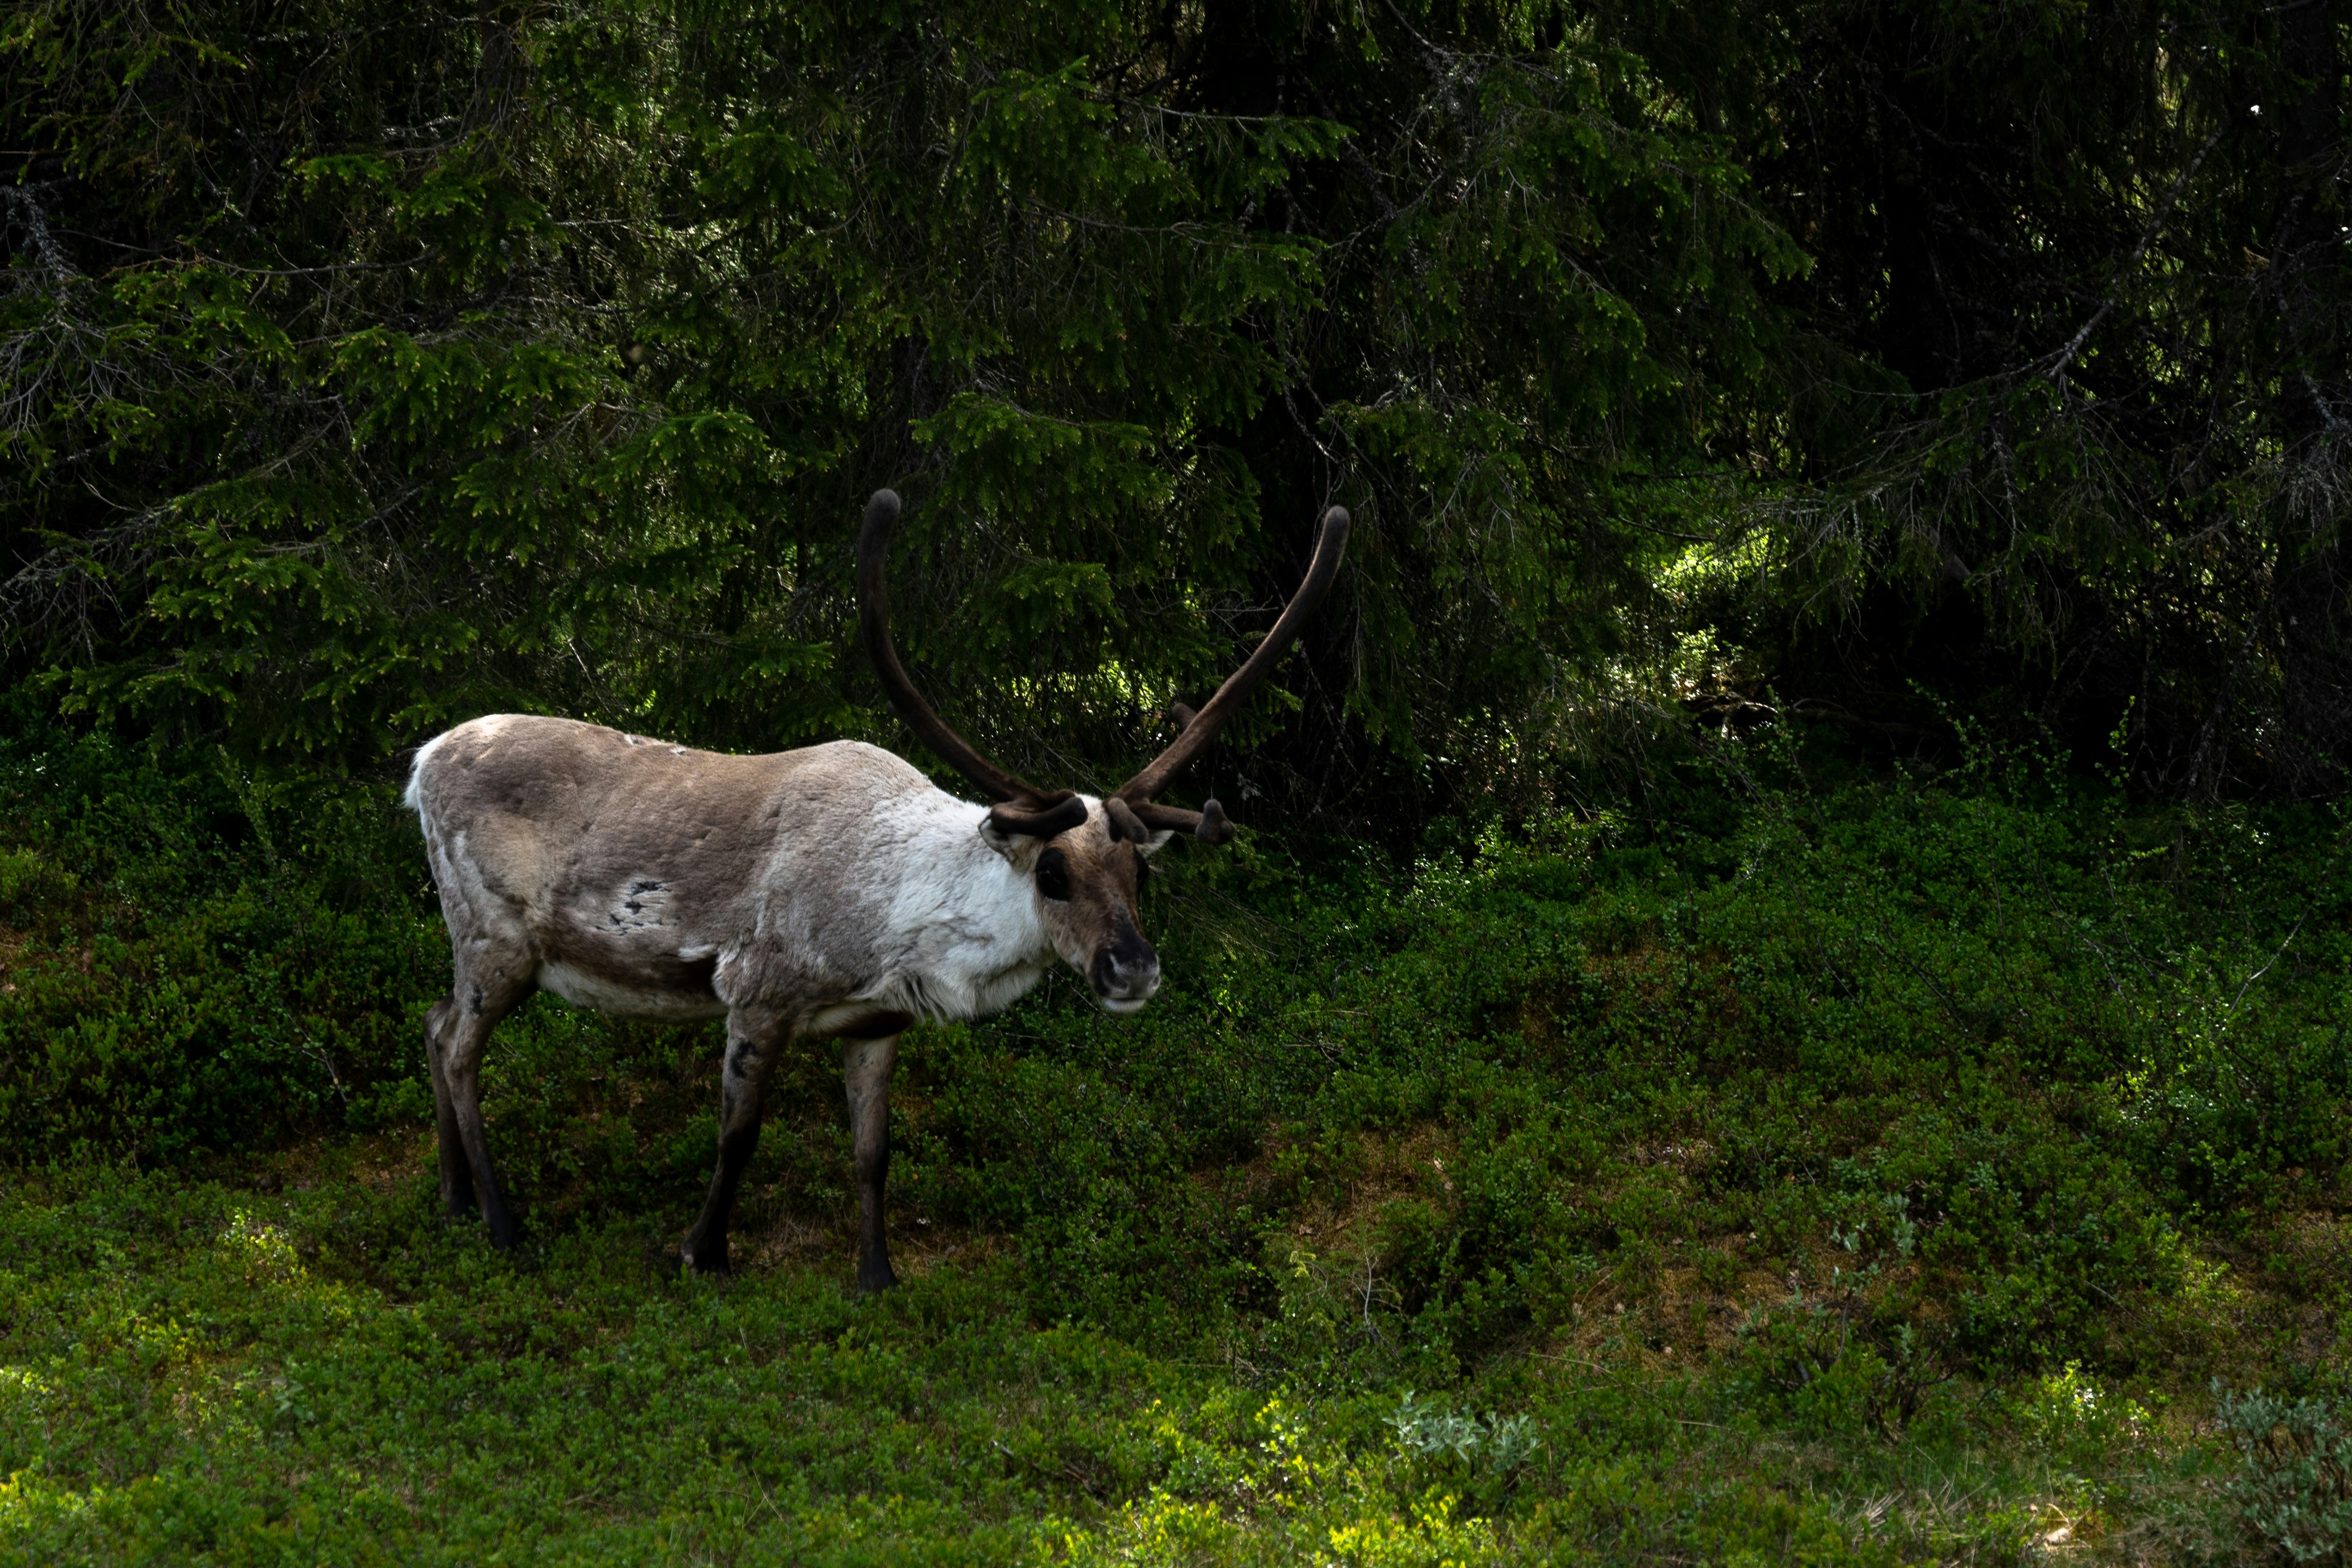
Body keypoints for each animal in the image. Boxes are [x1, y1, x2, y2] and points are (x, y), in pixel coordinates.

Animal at [404, 489, 1349, 1289]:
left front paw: (877, 1276)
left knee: (433, 1019)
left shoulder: (875, 1025)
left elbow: (873, 1153)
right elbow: (737, 1137)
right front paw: (702, 1253)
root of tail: (422, 762)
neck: (898, 913)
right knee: (458, 1045)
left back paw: (452, 1199)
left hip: (482, 947)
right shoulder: (756, 994)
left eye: (1140, 870)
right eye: (1053, 871)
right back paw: (500, 1222)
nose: (1133, 970)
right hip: (497, 939)